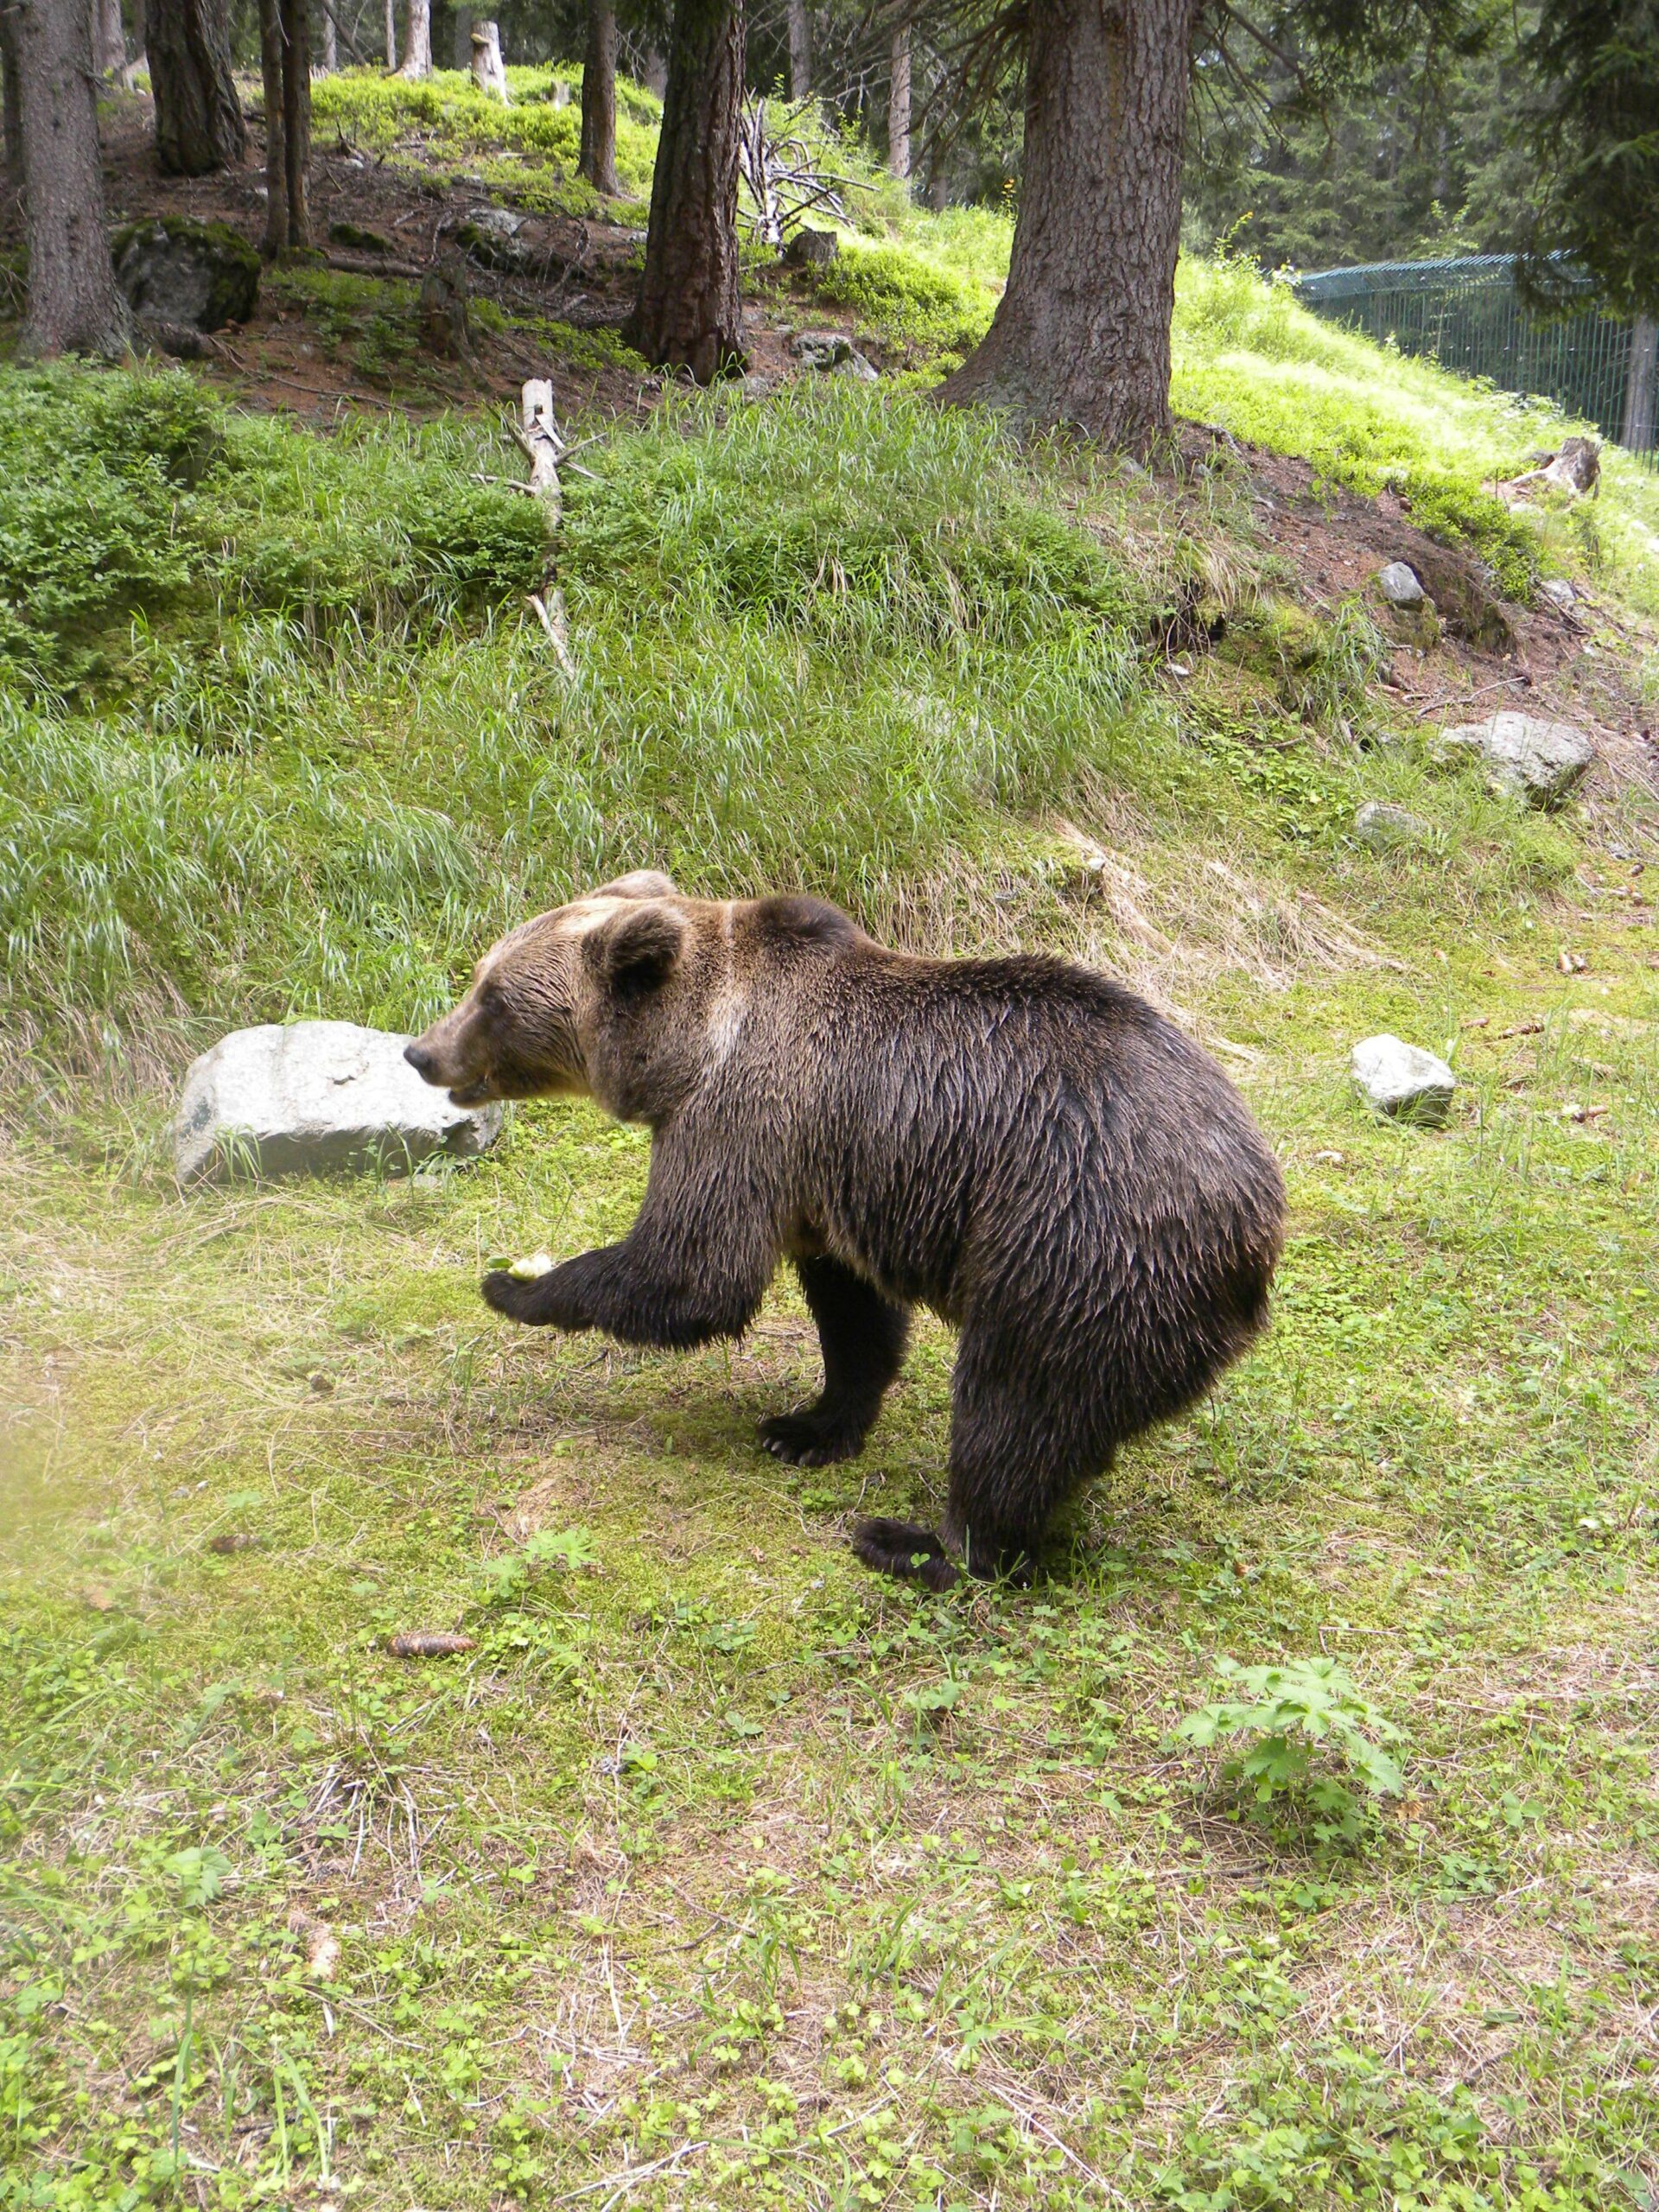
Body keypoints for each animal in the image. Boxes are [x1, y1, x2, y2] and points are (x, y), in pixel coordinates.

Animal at [404, 872, 1286, 1590]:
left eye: (492, 997)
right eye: (481, 976)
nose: (420, 1051)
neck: (688, 1050)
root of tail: (1255, 1218)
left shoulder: (743, 1121)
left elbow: (692, 1273)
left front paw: (514, 1284)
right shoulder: (827, 1179)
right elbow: (853, 1317)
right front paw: (808, 1427)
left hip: (1075, 1247)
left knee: (1015, 1410)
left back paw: (922, 1543)